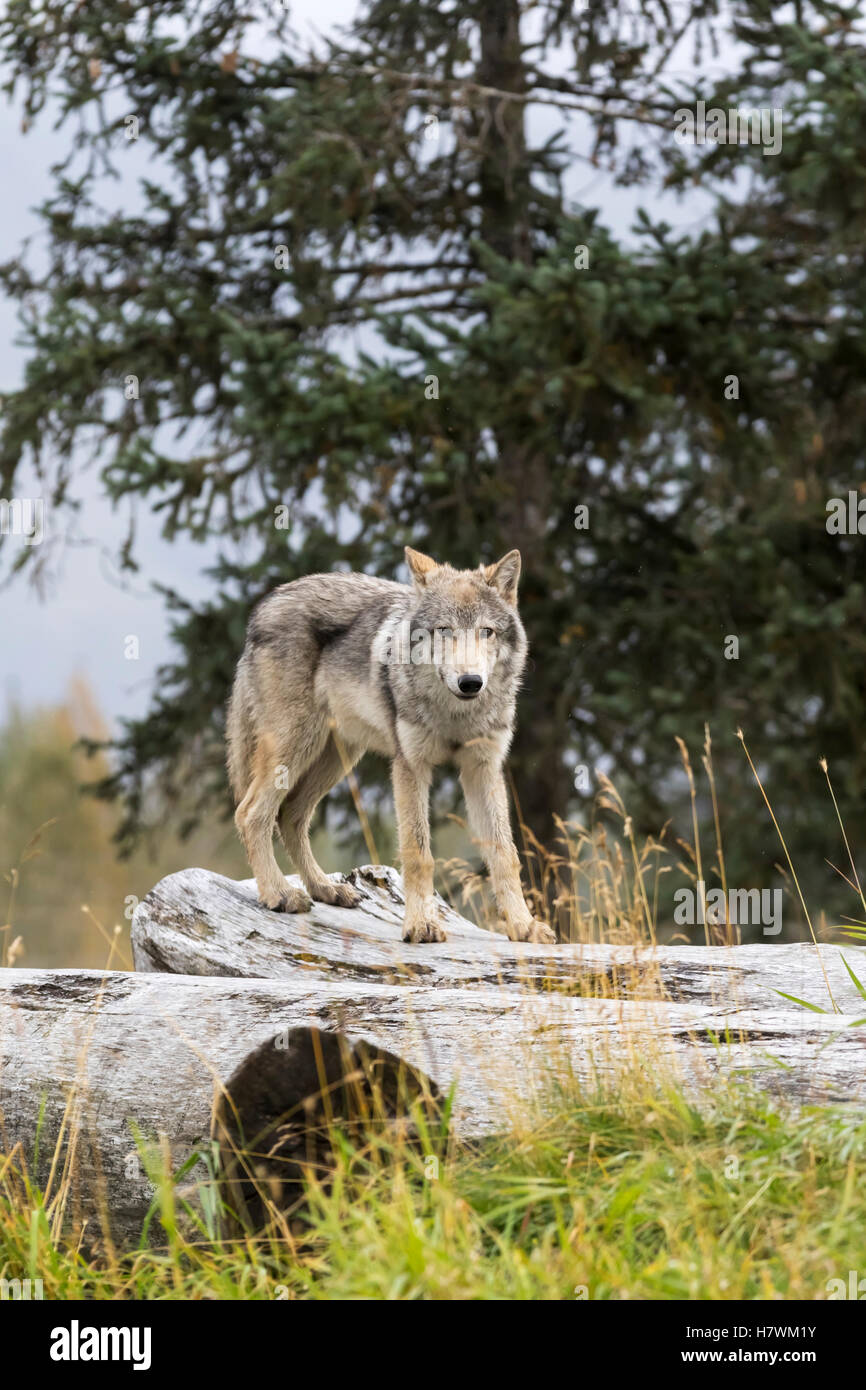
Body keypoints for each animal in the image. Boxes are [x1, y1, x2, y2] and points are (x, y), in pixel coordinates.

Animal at [226, 547, 555, 945]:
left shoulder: (483, 768)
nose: (470, 682)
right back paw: (279, 893)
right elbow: (418, 852)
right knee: (251, 813)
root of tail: (267, 603)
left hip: (338, 757)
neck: (455, 716)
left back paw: (324, 889)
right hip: (295, 746)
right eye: (443, 630)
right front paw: (421, 925)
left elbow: (505, 853)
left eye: (486, 632)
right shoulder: (410, 766)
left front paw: (524, 926)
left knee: (290, 814)